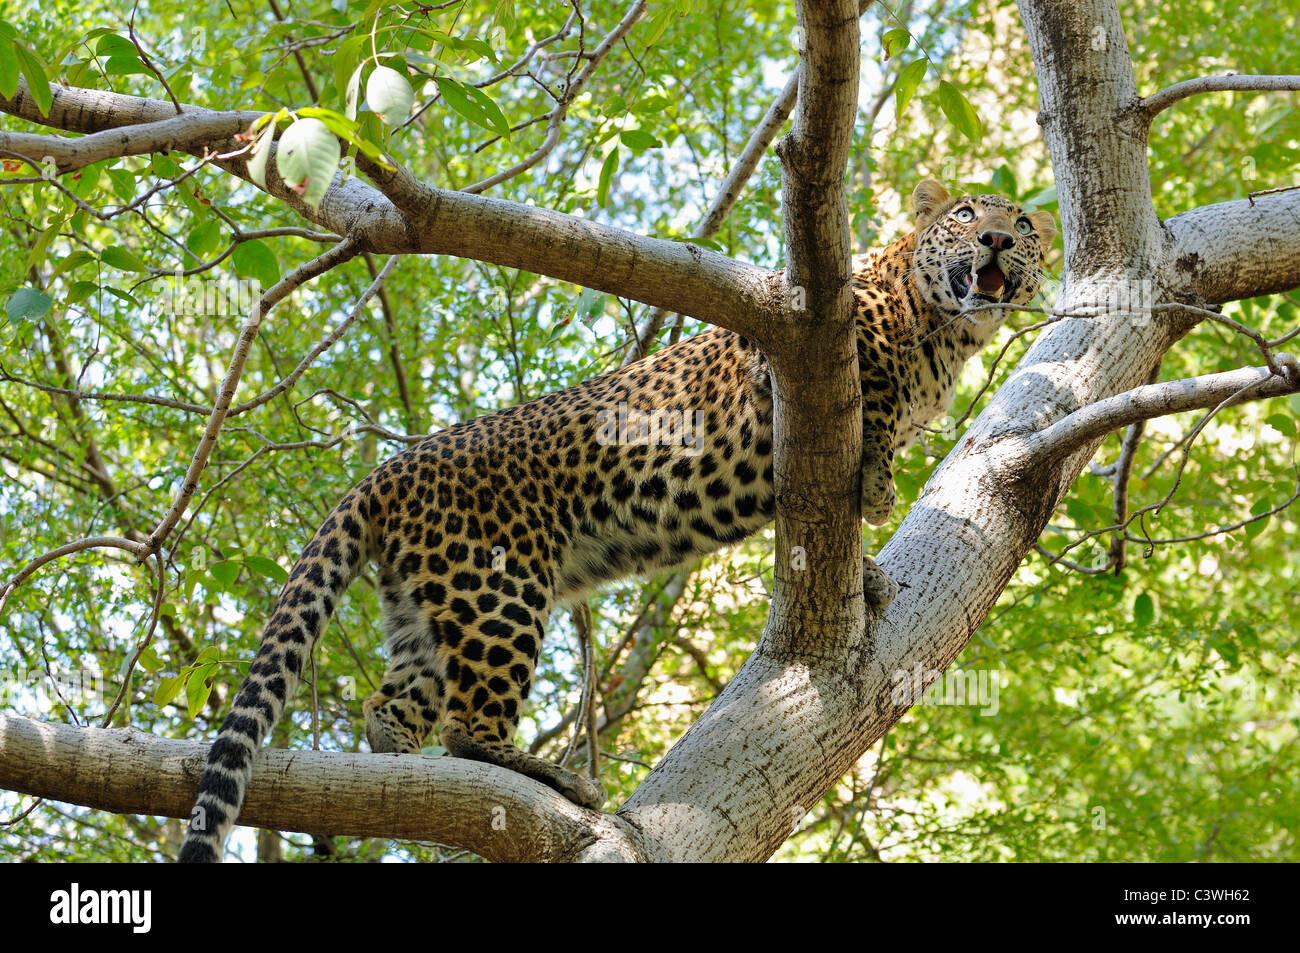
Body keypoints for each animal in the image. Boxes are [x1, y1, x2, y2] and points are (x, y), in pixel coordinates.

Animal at [178, 179, 1054, 861]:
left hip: (428, 604)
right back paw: (554, 776)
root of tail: (391, 467)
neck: (944, 334)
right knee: (468, 723)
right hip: (498, 589)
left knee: (393, 705)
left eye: (1025, 223)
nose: (998, 238)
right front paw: (874, 486)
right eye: (966, 212)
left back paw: (406, 776)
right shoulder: (795, 358)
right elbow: (868, 416)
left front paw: (867, 568)